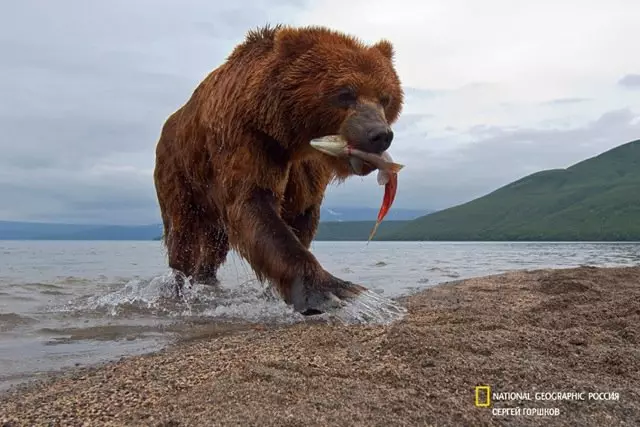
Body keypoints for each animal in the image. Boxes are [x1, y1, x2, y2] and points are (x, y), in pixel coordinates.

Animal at [154, 24, 402, 318]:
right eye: (345, 93)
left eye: (385, 98)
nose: (379, 135)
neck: (292, 140)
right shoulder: (246, 138)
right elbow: (254, 203)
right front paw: (336, 291)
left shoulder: (306, 171)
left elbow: (301, 216)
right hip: (180, 175)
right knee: (183, 236)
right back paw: (182, 286)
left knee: (216, 244)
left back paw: (207, 280)